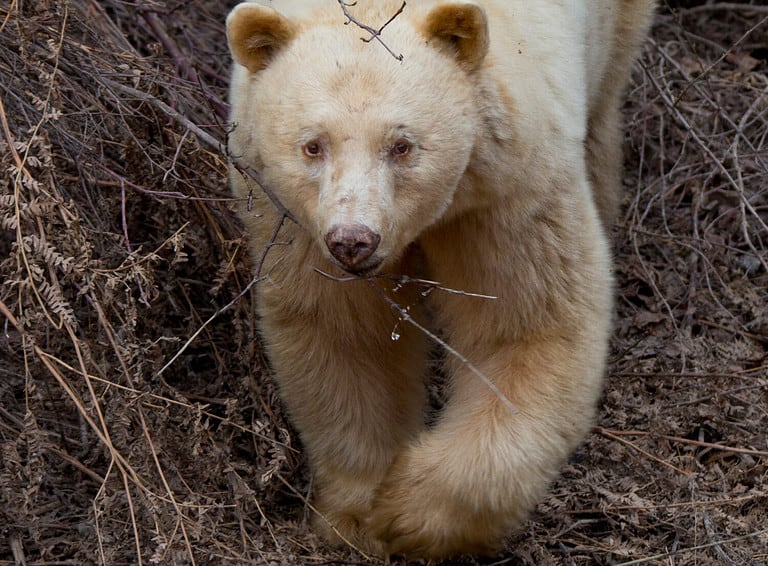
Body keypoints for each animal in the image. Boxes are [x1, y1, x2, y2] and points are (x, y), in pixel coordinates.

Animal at [226, 0, 655, 559]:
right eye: (313, 146)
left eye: (402, 146)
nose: (353, 240)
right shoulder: (292, 220)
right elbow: (347, 338)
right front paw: (357, 513)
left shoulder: (505, 190)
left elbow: (524, 329)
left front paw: (408, 512)